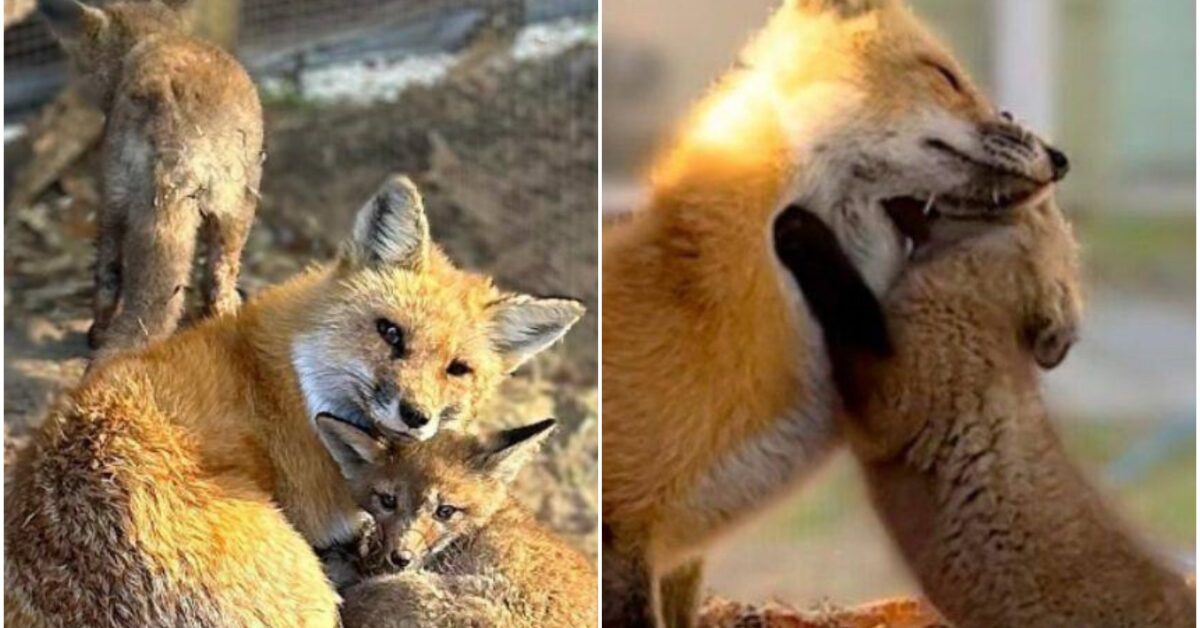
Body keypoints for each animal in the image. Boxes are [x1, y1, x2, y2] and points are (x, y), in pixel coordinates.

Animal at [38, 0, 264, 358]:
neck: (155, 37)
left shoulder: (110, 198)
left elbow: (107, 274)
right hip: (229, 202)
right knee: (218, 281)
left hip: (121, 195)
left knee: (112, 277)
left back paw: (100, 335)